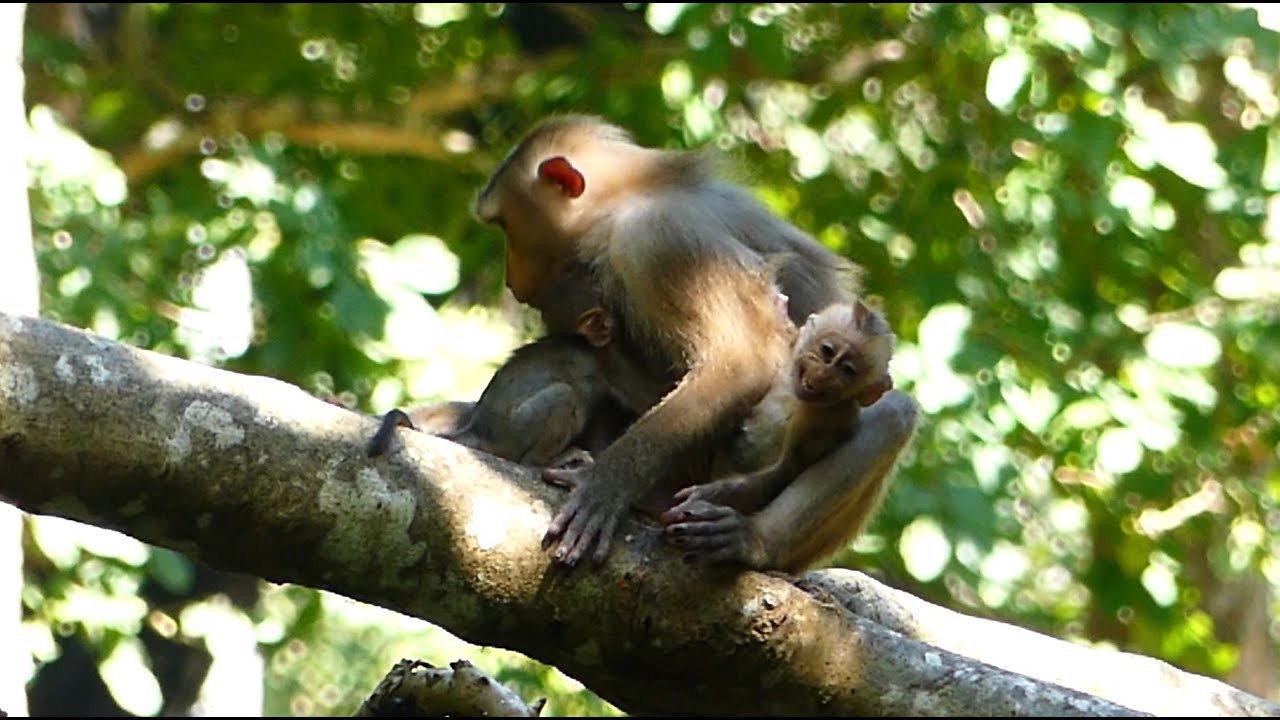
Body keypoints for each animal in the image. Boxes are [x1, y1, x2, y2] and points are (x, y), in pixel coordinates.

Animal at [660, 299, 897, 571]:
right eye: (827, 351)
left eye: (848, 370)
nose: (823, 375)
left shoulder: (828, 415)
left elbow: (788, 470)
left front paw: (716, 495)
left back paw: (751, 541)